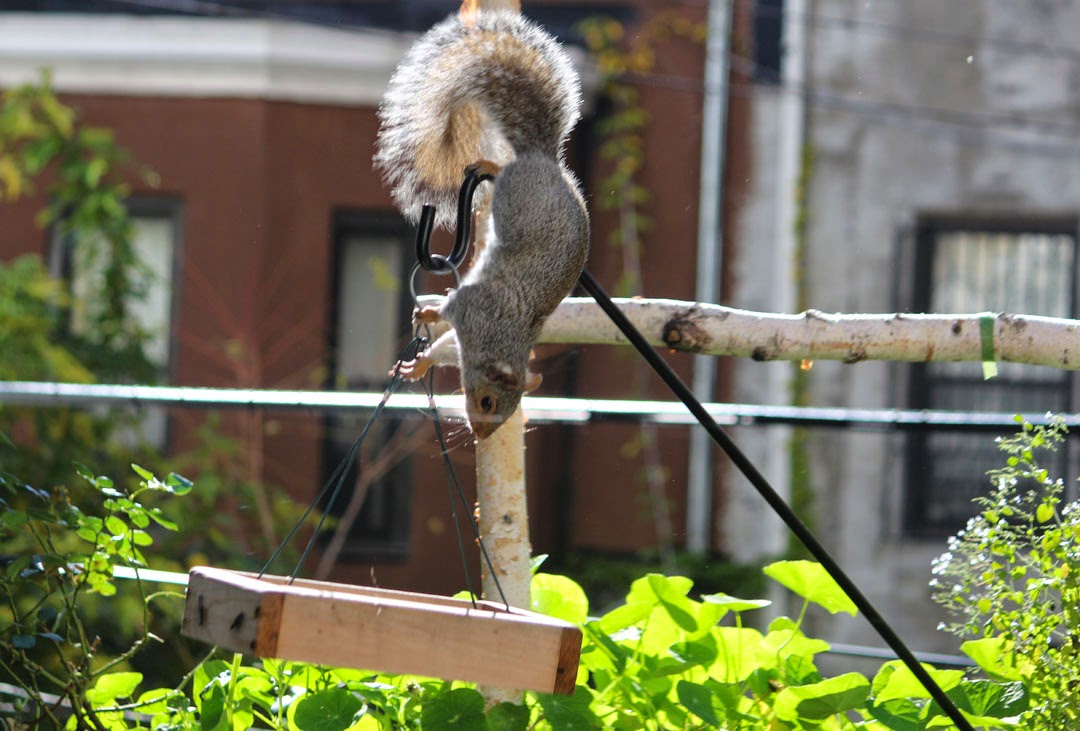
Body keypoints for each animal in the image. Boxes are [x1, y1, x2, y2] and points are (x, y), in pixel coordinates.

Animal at [374, 8, 590, 439]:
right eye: (488, 402)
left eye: (504, 414)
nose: (480, 435)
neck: (502, 338)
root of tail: (545, 160)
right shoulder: (472, 308)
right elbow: (447, 313)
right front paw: (429, 316)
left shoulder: (469, 335)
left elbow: (444, 350)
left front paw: (420, 364)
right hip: (512, 196)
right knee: (504, 171)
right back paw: (491, 164)